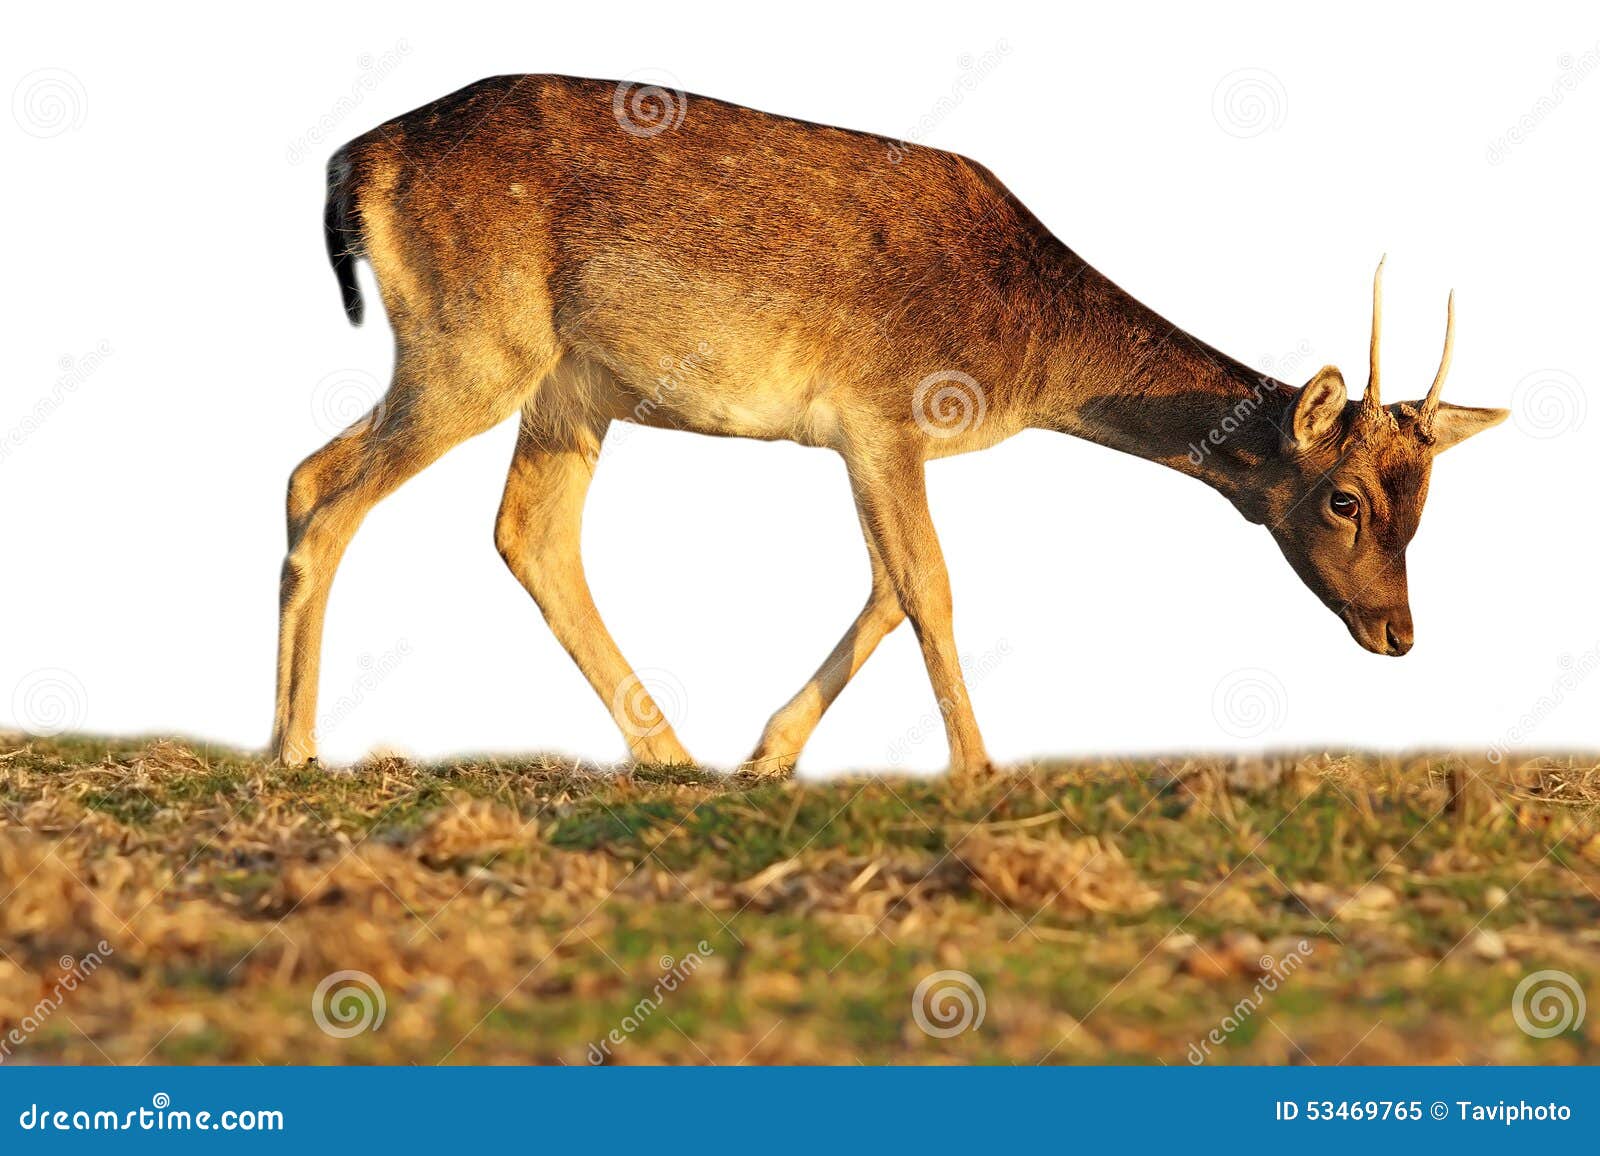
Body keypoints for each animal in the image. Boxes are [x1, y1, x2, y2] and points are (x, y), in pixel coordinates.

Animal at [272, 74, 1509, 777]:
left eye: (1427, 506)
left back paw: (674, 754)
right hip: (474, 343)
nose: (1399, 634)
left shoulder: (871, 442)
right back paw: (292, 746)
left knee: (521, 529)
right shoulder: (879, 416)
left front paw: (768, 756)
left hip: (572, 389)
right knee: (320, 484)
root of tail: (352, 163)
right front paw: (978, 768)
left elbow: (882, 587)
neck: (1023, 353)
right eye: (1343, 497)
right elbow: (927, 586)